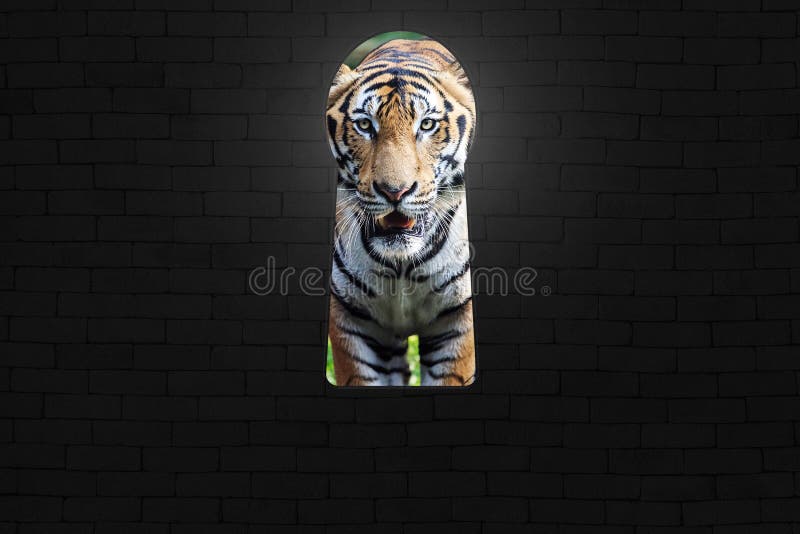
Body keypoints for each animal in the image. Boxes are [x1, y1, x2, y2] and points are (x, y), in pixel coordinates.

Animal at [325, 38, 476, 386]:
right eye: (364, 125)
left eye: (427, 124)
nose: (395, 191)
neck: (402, 267)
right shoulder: (352, 322)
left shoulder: (457, 323)